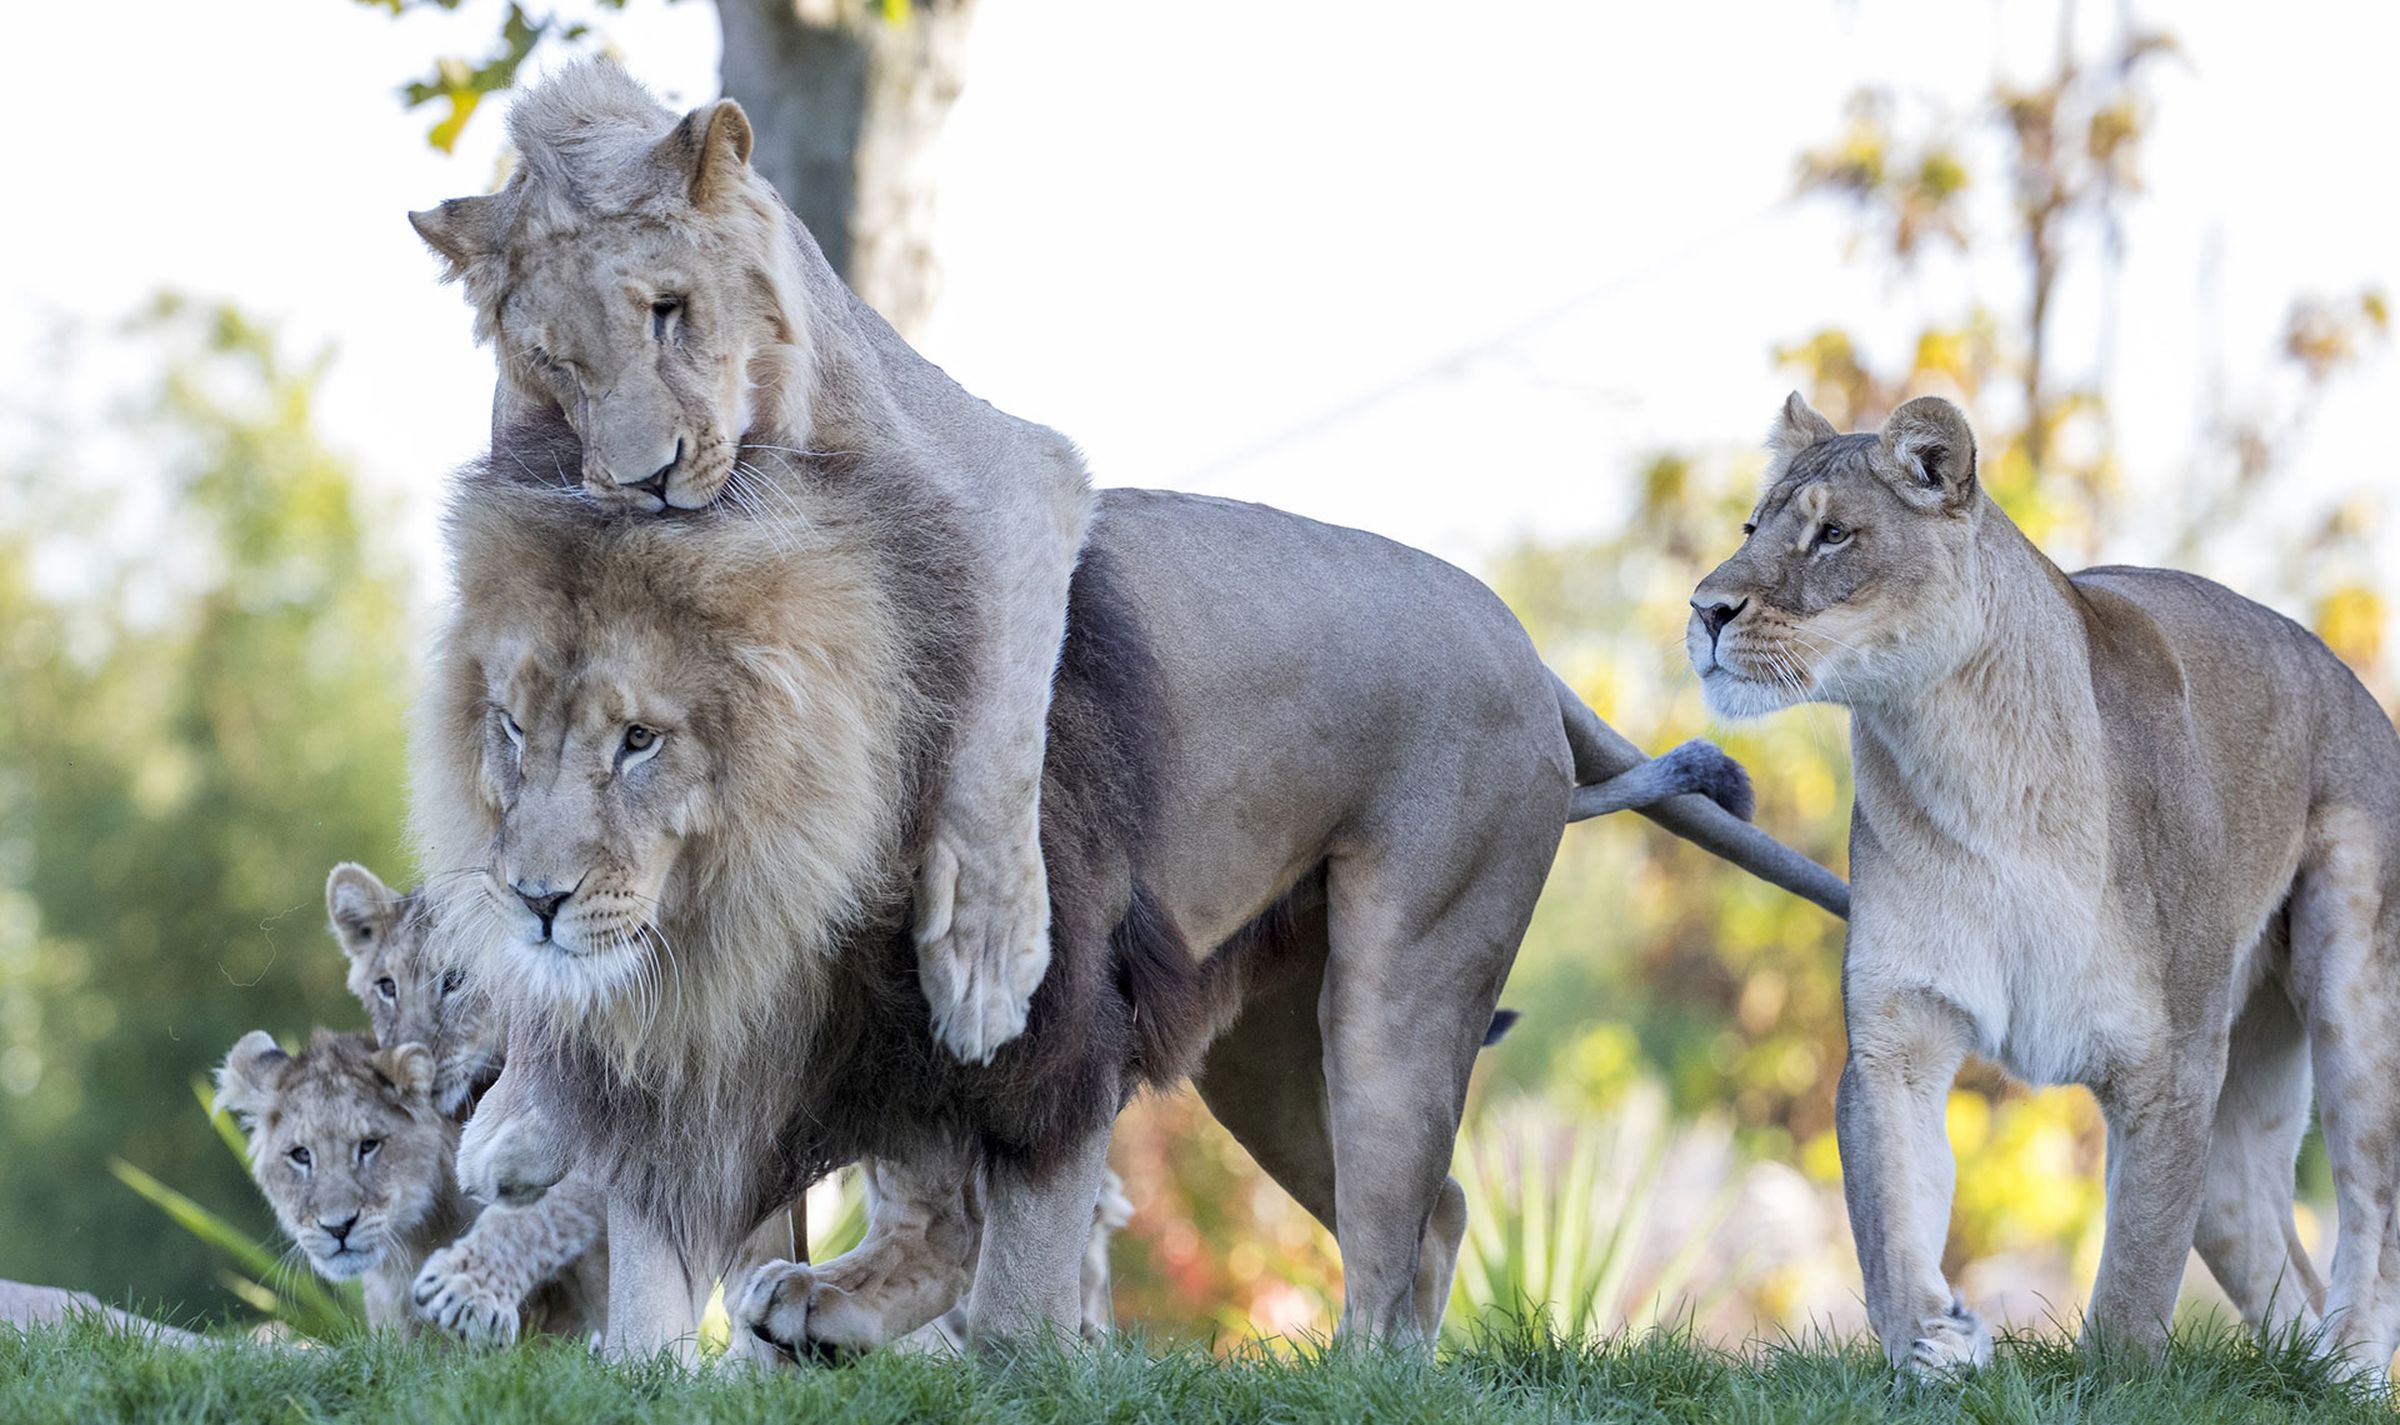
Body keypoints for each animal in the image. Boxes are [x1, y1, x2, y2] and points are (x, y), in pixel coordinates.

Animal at [407, 59, 1088, 1068]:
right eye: (550, 360)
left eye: (667, 311)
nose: (644, 481)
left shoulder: (1016, 470)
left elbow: (997, 735)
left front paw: (984, 956)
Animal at [414, 415, 1847, 1360]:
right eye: (511, 730)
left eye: (639, 741)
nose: (533, 899)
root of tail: (1520, 639)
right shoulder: (778, 1034)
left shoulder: (1058, 1015)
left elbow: (1021, 1257)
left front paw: (1016, 1360)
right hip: (1264, 1058)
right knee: (1433, 1209)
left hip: (1396, 1000)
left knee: (1396, 1216)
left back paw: (1360, 1382)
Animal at [1687, 392, 2400, 1378]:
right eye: (1752, 527)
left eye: (1833, 534)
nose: (1704, 610)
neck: (1969, 761)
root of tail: (2356, 687)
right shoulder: (1897, 1029)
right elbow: (1891, 1214)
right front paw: (1933, 1345)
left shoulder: (2173, 1060)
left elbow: (2137, 1269)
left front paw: (2111, 1378)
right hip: (2233, 1129)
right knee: (2273, 1254)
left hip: (2354, 990)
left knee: (2373, 1211)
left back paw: (2351, 1374)